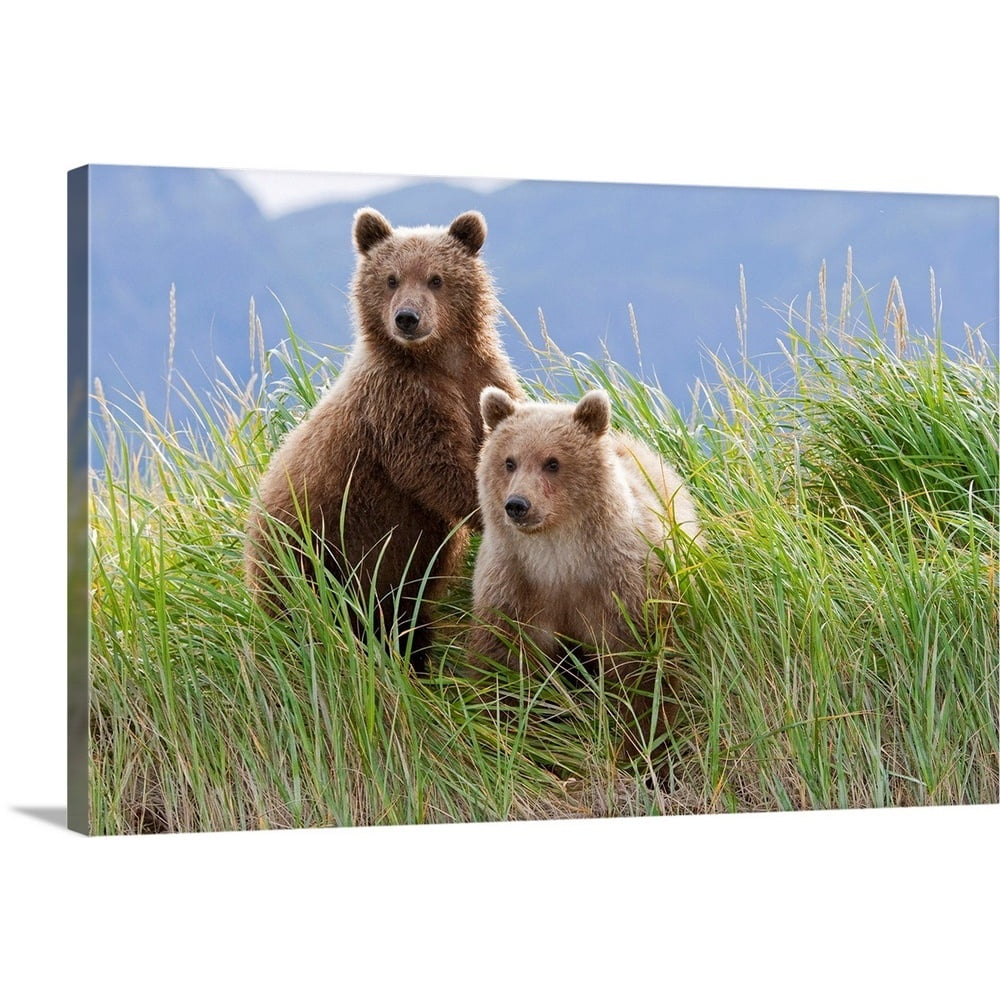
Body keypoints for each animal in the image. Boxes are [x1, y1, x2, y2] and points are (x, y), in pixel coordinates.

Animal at [244, 207, 522, 671]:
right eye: (391, 278)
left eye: (435, 278)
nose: (407, 317)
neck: (440, 361)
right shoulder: (398, 404)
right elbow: (436, 467)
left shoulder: (483, 380)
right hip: (313, 550)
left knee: (406, 613)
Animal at [467, 386, 702, 769]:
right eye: (509, 461)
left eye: (552, 462)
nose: (518, 504)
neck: (559, 559)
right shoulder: (514, 588)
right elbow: (505, 666)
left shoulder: (622, 587)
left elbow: (641, 671)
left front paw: (640, 747)